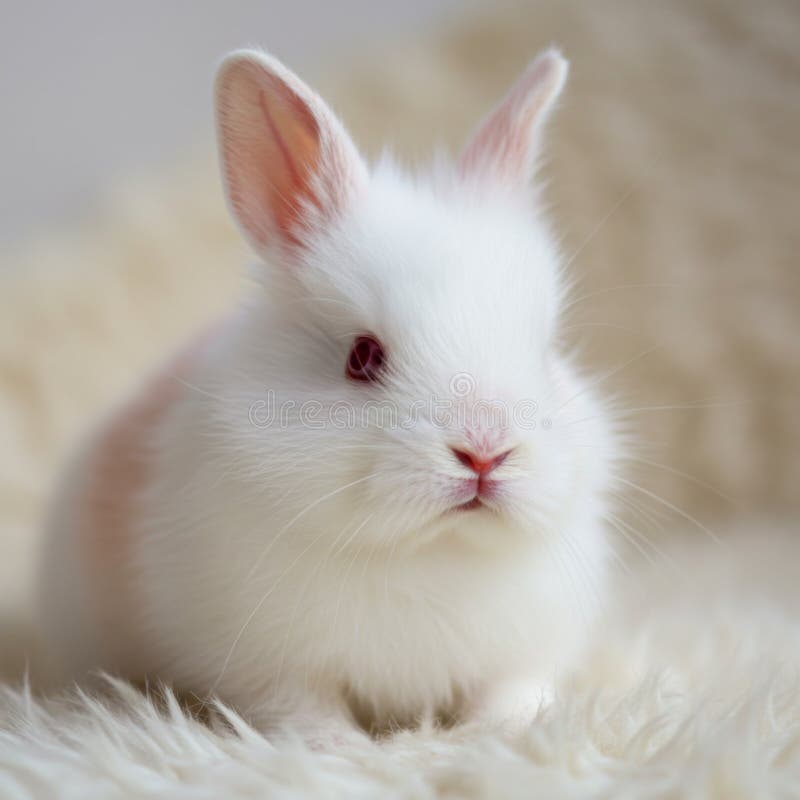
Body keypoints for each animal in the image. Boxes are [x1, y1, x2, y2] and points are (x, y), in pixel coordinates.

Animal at [38, 46, 619, 745]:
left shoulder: (526, 653)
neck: (429, 551)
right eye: (362, 357)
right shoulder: (267, 666)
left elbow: (509, 693)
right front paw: (337, 748)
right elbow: (303, 710)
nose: (484, 452)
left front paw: (501, 734)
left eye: (545, 351)